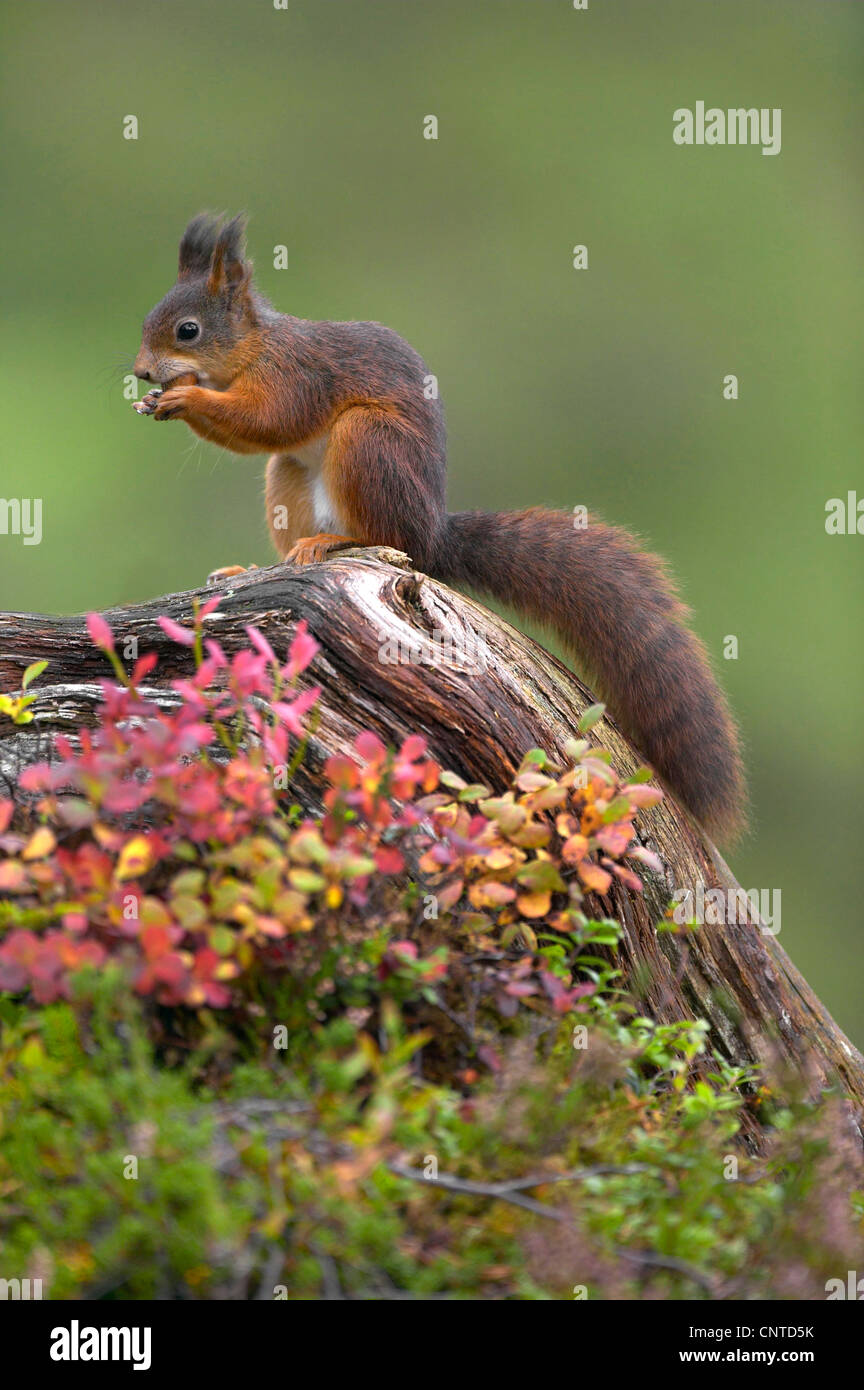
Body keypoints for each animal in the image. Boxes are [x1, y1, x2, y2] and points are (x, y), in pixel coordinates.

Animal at [133, 213, 745, 841]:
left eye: (187, 331)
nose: (141, 372)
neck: (254, 348)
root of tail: (433, 532)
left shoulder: (296, 374)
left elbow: (269, 418)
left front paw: (184, 396)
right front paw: (160, 400)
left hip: (369, 443)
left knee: (389, 537)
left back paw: (332, 540)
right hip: (289, 476)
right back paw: (263, 563)